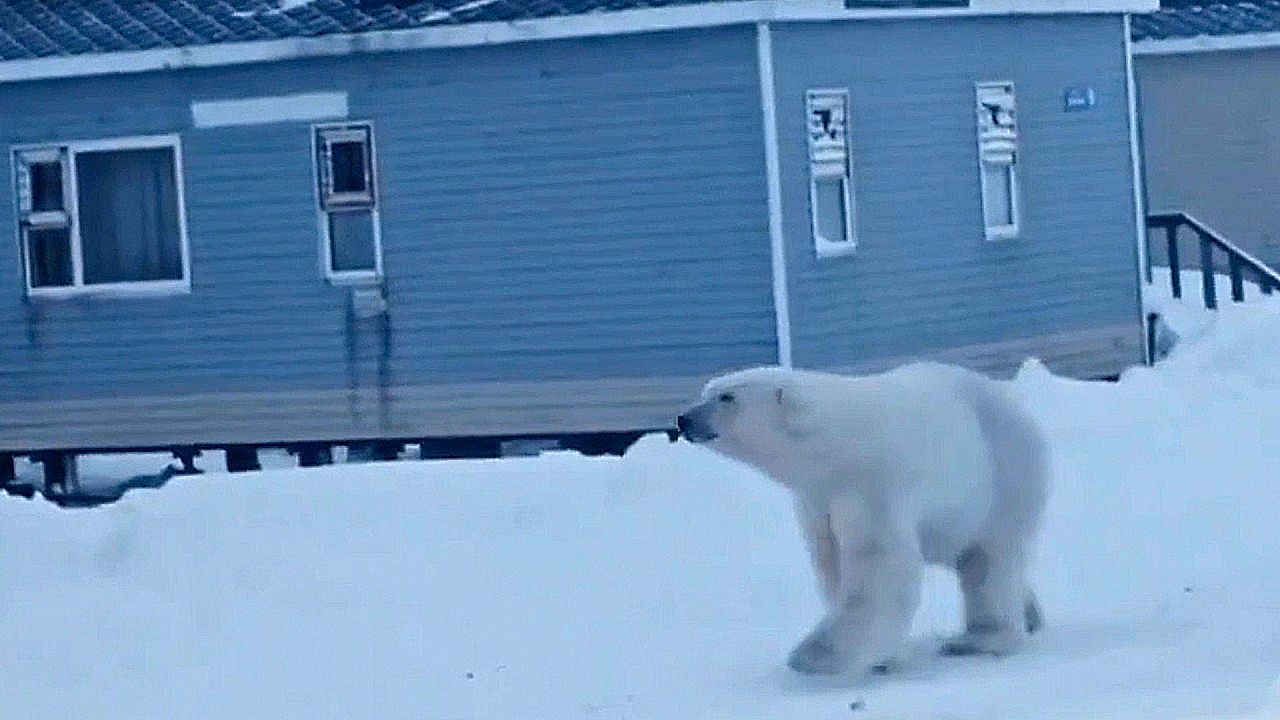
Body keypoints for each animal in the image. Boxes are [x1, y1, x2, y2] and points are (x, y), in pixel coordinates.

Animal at [676, 362, 1050, 677]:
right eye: (707, 390)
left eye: (727, 396)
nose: (684, 419)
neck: (834, 444)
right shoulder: (817, 500)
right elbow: (831, 562)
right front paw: (884, 658)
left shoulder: (871, 485)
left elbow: (876, 569)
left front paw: (815, 655)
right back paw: (1031, 615)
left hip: (999, 478)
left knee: (989, 560)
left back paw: (979, 640)